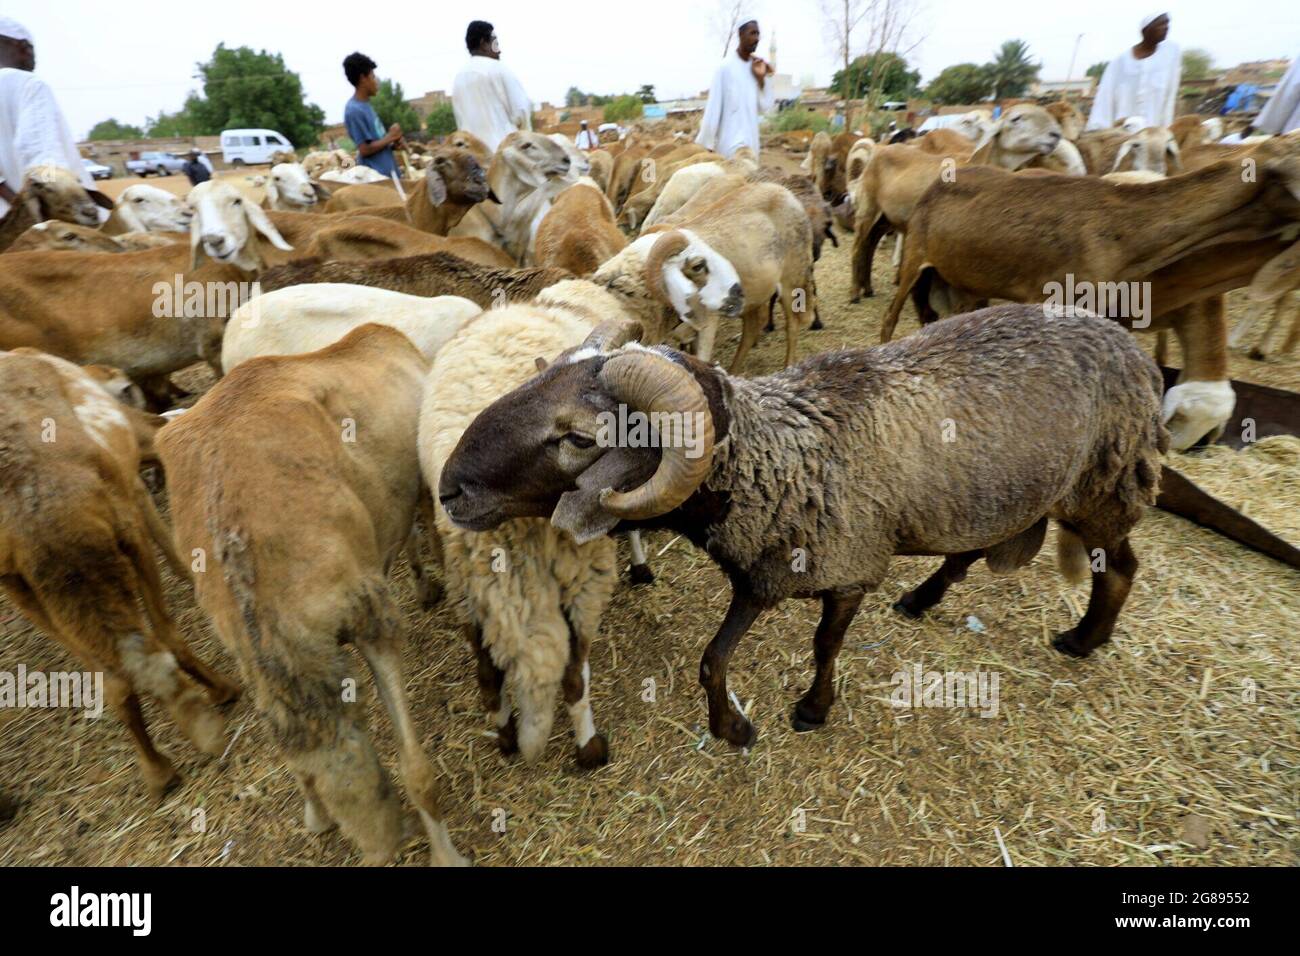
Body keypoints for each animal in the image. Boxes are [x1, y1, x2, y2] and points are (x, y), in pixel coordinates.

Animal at [0, 347, 240, 799]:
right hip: (119, 532)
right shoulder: (132, 495)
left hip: (35, 593)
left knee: (114, 677)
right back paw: (223, 691)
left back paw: (158, 772)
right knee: (163, 636)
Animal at [437, 305, 1170, 747]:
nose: (449, 488)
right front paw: (732, 730)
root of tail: (1123, 340)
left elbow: (823, 646)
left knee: (1122, 567)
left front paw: (813, 711)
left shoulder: (847, 575)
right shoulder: (755, 577)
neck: (783, 461)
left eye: (580, 437)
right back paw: (923, 597)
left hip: (1103, 489)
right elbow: (711, 661)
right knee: (971, 547)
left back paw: (1084, 639)